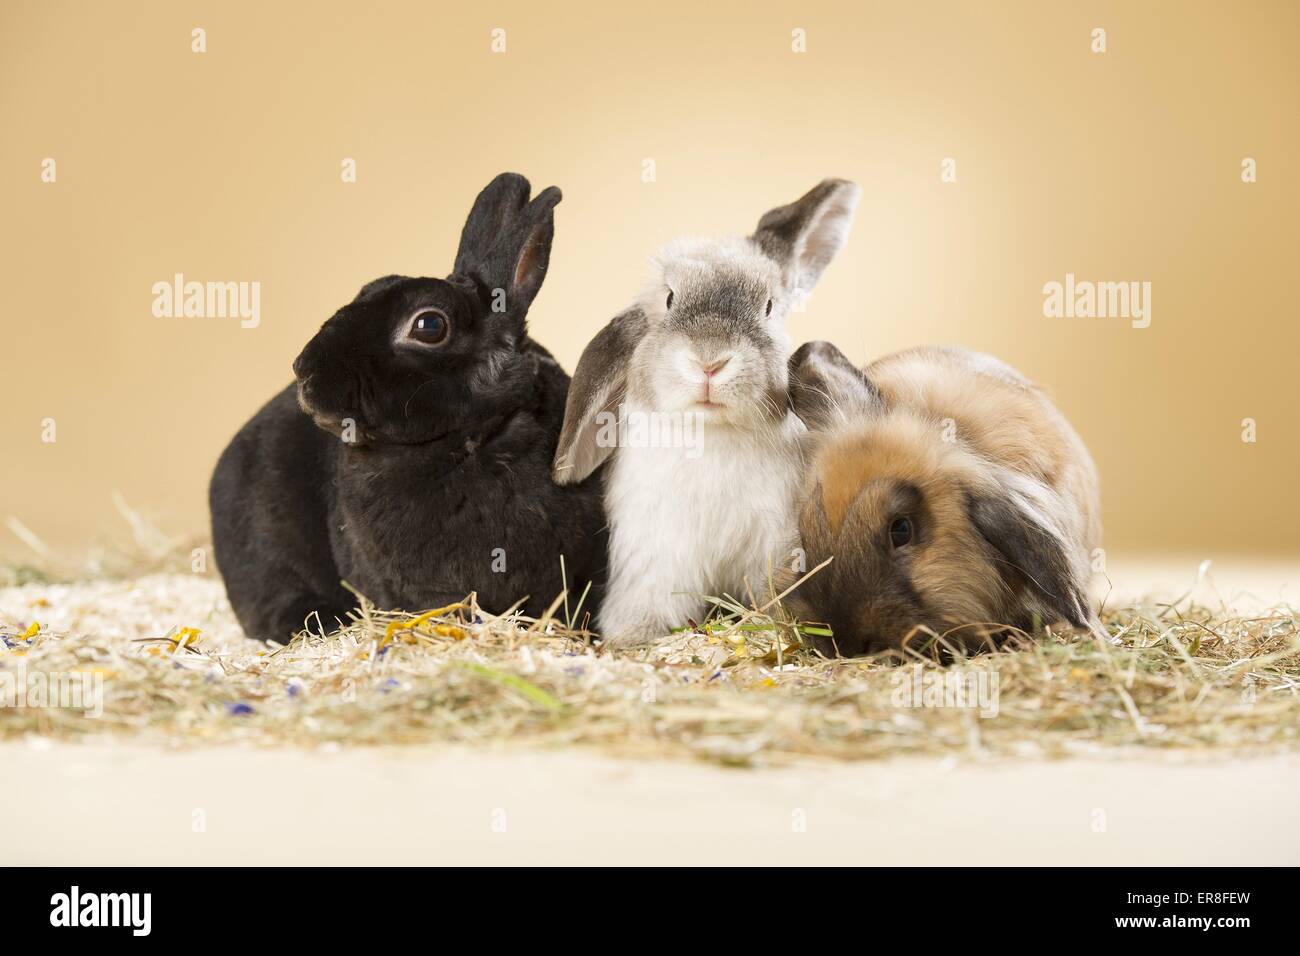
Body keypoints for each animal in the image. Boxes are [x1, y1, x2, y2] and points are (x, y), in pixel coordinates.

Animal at [551, 179, 861, 646]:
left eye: (769, 307)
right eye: (669, 298)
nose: (710, 361)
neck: (710, 431)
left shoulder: (777, 546)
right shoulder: (657, 554)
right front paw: (633, 636)